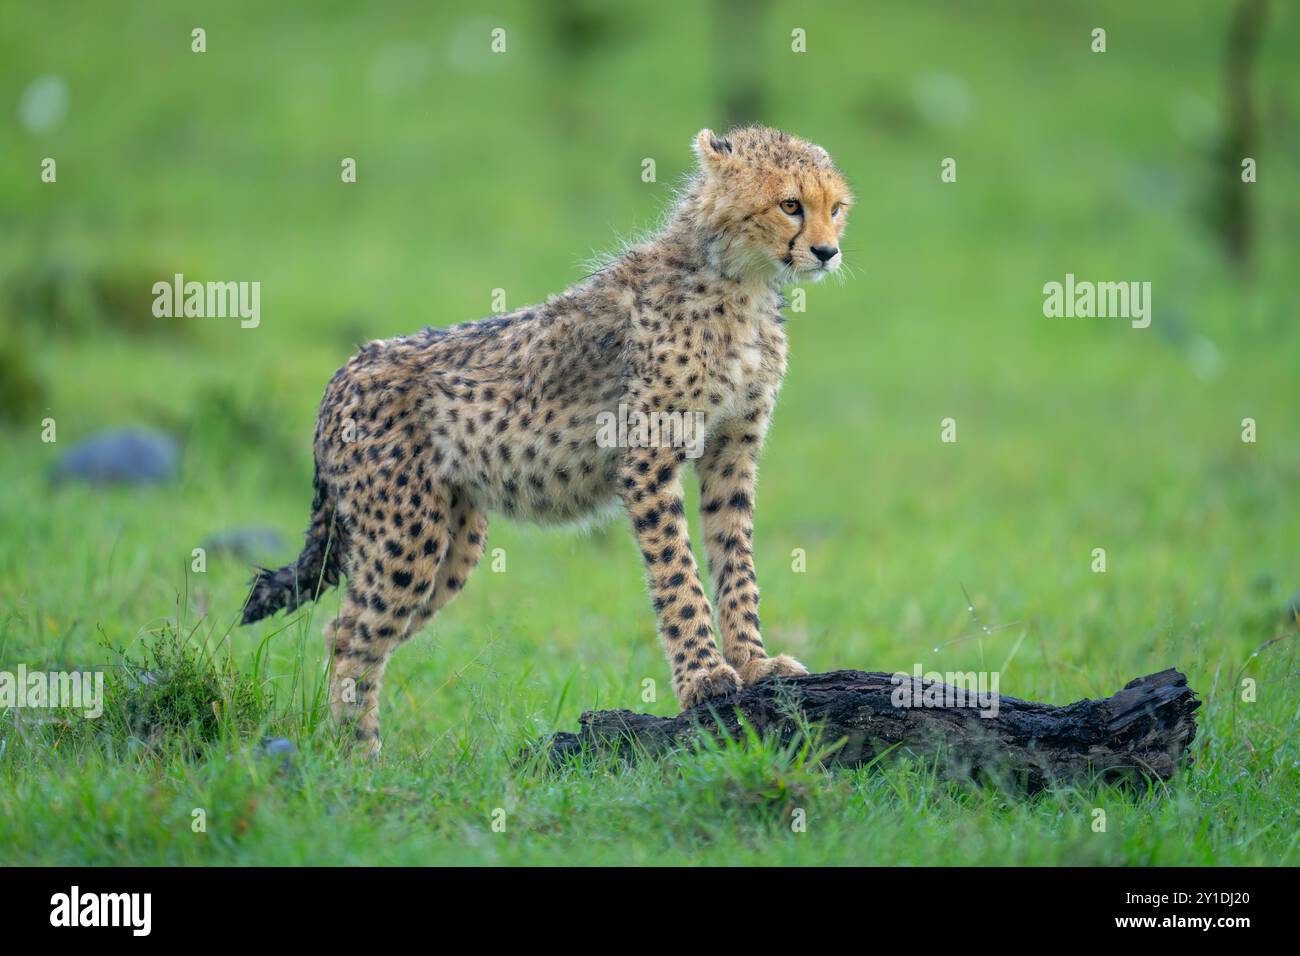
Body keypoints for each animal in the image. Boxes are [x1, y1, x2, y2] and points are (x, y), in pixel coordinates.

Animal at [241, 125, 853, 753]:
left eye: (836, 208)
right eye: (790, 205)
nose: (827, 252)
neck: (742, 282)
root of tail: (347, 367)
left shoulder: (732, 452)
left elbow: (735, 559)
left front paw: (754, 662)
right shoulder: (648, 457)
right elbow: (677, 571)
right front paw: (703, 677)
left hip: (452, 540)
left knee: (354, 630)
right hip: (403, 533)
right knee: (349, 634)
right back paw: (355, 760)